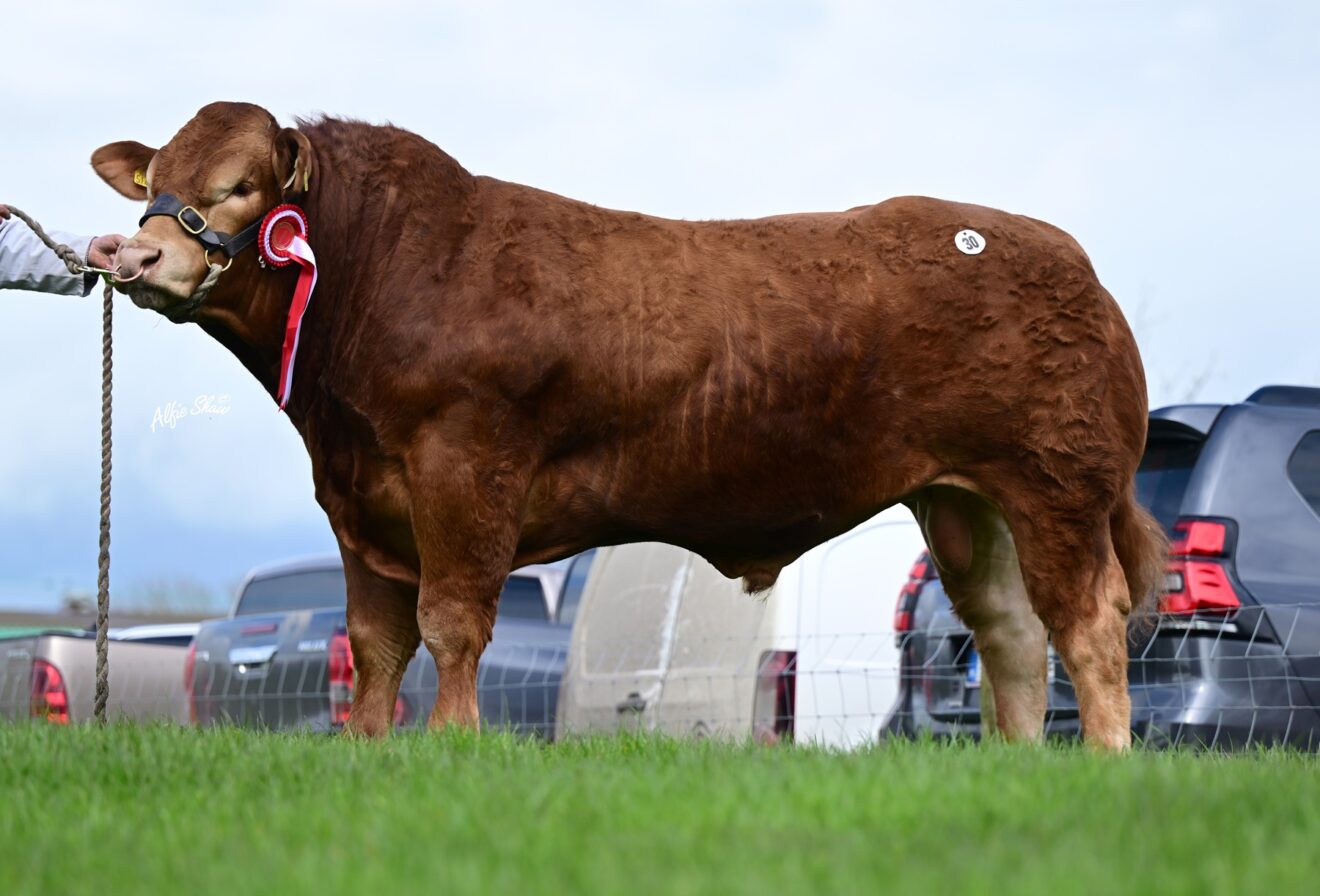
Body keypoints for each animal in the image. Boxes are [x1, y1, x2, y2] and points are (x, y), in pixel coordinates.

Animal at [91, 101, 1165, 749]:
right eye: (151, 184)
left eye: (241, 186)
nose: (130, 257)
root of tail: (1065, 258)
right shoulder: (359, 500)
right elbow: (374, 640)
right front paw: (368, 747)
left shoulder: (464, 470)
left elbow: (450, 622)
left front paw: (450, 745)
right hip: (965, 501)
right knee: (1011, 631)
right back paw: (1016, 765)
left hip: (1058, 483)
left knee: (1088, 621)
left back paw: (1105, 760)